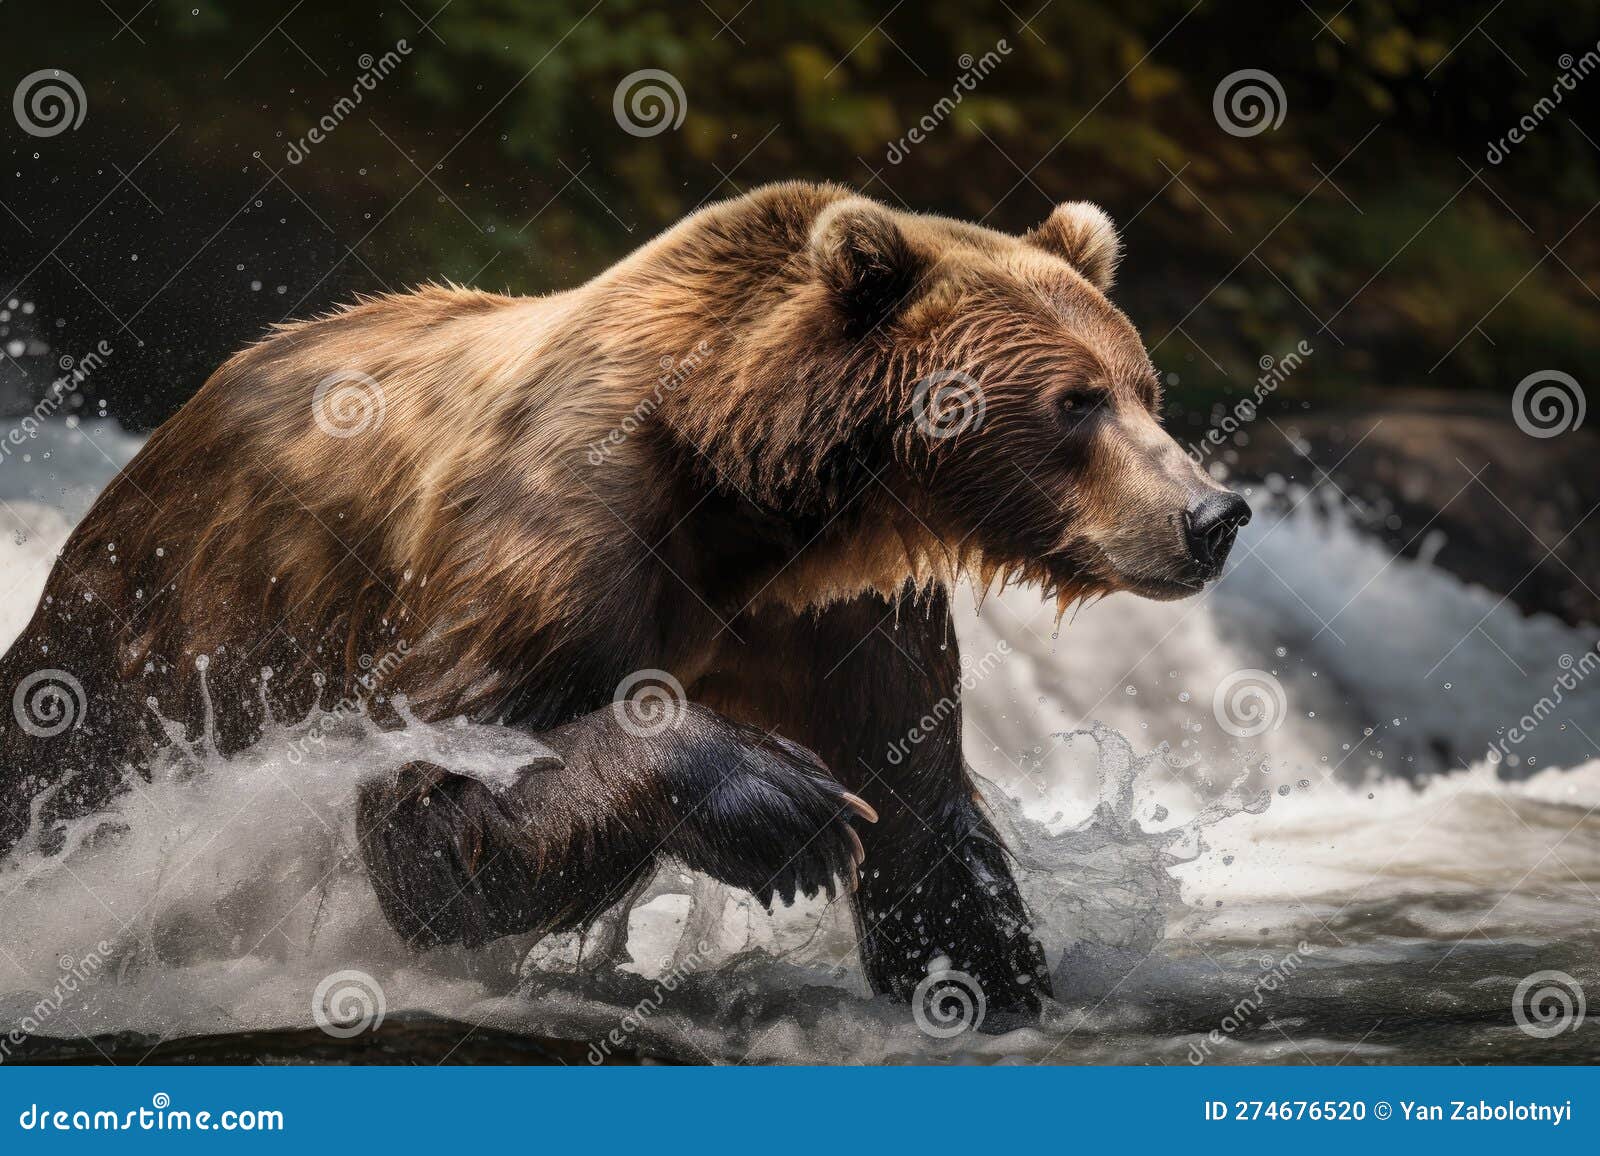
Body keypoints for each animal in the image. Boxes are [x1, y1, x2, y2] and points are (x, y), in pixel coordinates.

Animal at [0, 181, 1249, 1020]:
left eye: (1142, 387)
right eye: (1075, 400)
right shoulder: (556, 545)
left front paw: (984, 979)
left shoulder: (846, 613)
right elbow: (430, 800)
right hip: (171, 619)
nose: (1212, 512)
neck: (762, 502)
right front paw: (780, 799)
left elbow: (920, 808)